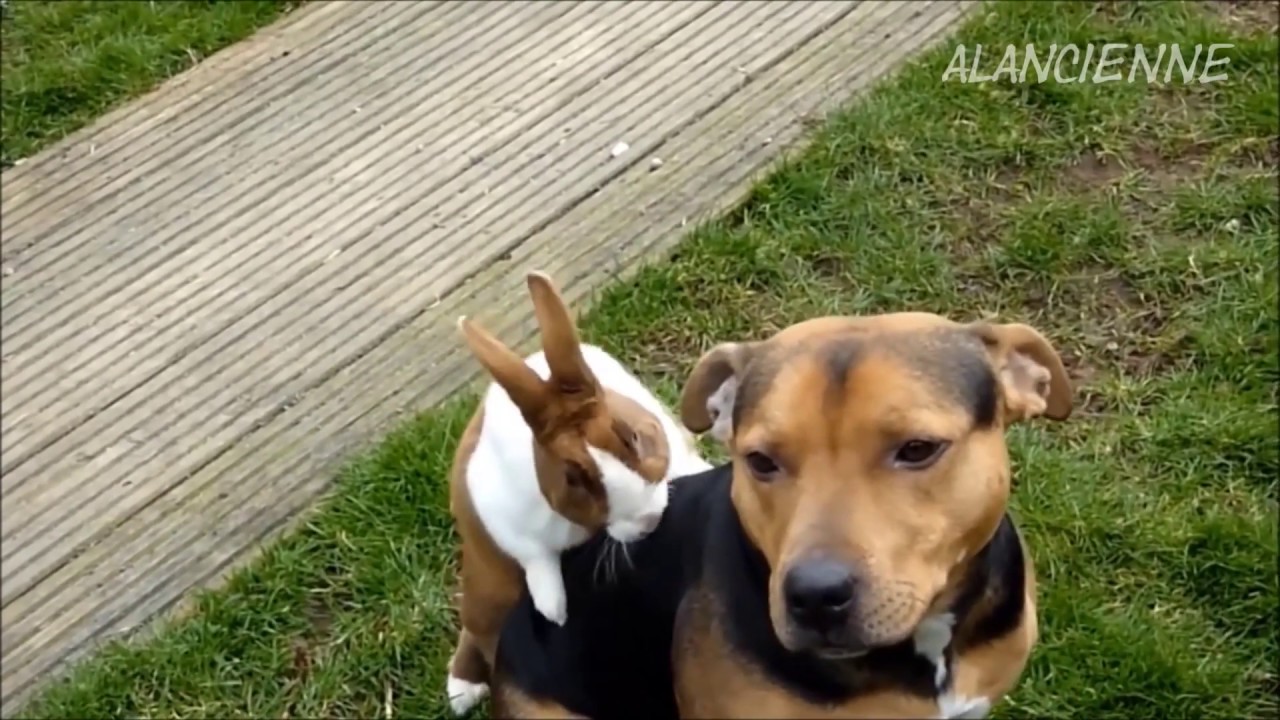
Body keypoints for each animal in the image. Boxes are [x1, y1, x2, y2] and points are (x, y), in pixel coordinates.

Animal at [445, 270, 711, 716]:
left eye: (631, 435)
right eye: (574, 479)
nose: (648, 520)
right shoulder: (505, 520)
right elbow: (537, 559)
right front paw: (554, 608)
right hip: (485, 589)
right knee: (474, 628)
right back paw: (461, 690)